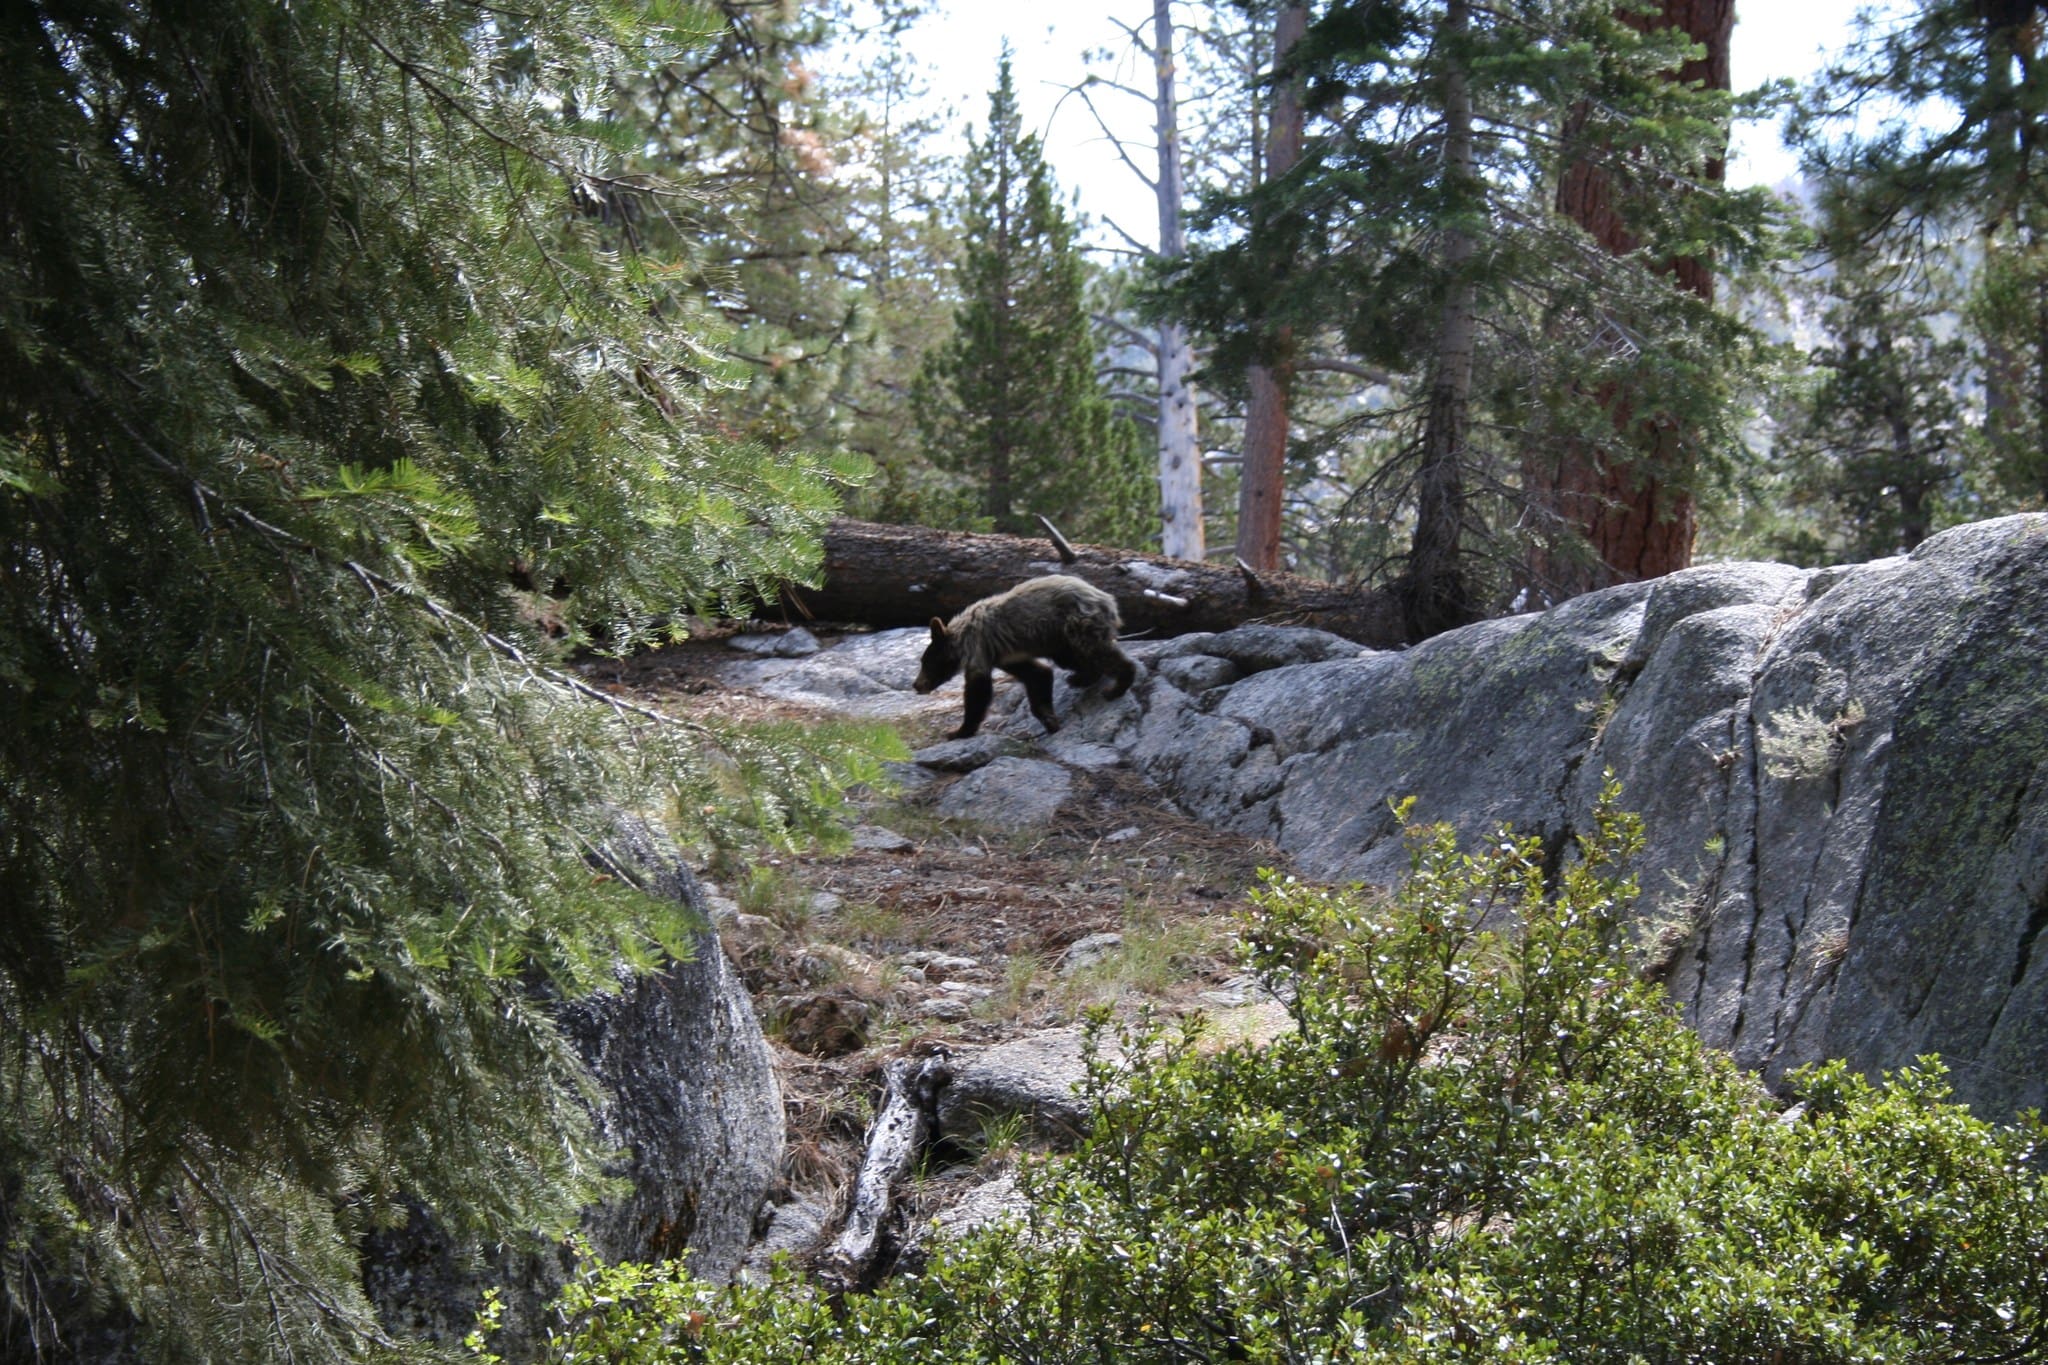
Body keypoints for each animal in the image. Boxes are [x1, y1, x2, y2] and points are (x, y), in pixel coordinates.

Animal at [912, 575, 1139, 739]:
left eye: (926, 662)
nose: (916, 685)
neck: (960, 639)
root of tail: (1108, 599)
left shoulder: (978, 647)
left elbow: (979, 690)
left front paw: (959, 730)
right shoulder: (1005, 655)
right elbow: (1037, 674)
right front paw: (1049, 718)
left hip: (1077, 623)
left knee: (1096, 652)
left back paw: (1117, 685)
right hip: (1060, 639)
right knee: (1075, 658)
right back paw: (1081, 678)